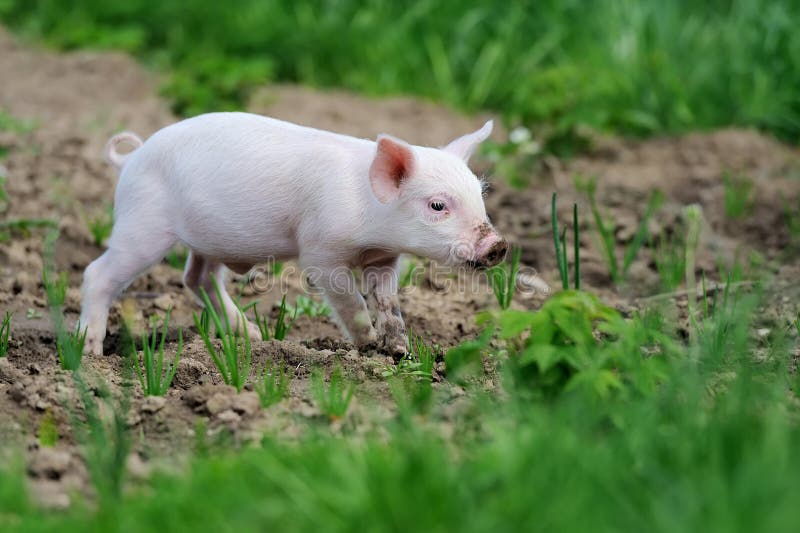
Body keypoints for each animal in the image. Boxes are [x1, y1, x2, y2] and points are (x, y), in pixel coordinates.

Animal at [79, 112, 508, 356]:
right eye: (437, 206)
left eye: (479, 194)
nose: (498, 245)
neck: (373, 227)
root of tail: (131, 159)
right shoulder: (320, 250)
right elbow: (348, 299)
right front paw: (369, 345)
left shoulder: (385, 259)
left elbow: (388, 301)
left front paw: (400, 349)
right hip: (142, 226)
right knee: (96, 273)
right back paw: (90, 352)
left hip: (208, 241)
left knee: (196, 277)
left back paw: (251, 337)